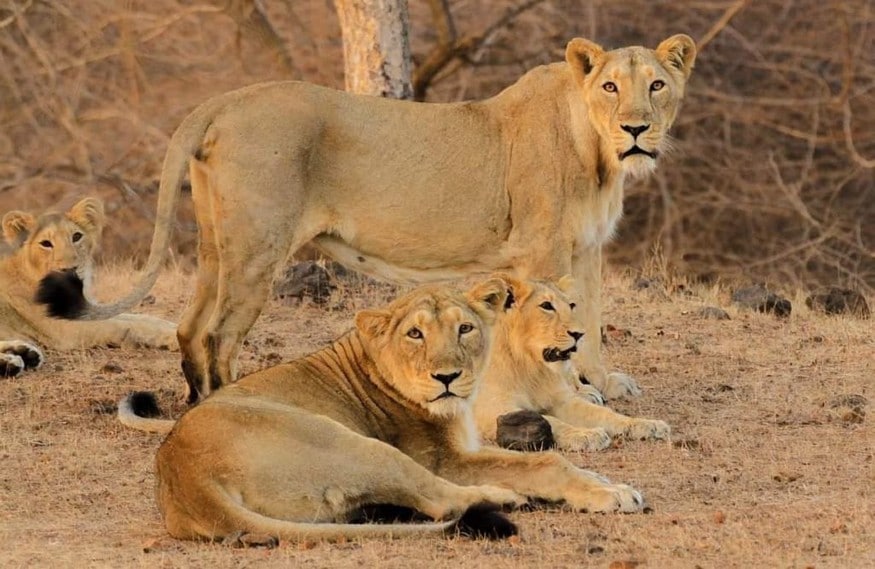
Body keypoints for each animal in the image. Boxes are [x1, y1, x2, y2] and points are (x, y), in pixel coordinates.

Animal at [0, 197, 177, 377]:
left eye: (76, 236)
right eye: (46, 243)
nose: (70, 269)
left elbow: (139, 318)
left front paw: (173, 327)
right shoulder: (62, 330)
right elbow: (119, 324)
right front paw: (173, 336)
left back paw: (25, 354)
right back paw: (13, 362)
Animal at [39, 35, 696, 403]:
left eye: (657, 86)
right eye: (610, 87)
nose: (636, 129)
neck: (599, 155)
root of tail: (224, 99)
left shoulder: (585, 250)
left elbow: (591, 319)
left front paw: (603, 383)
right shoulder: (542, 251)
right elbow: (555, 323)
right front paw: (573, 389)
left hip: (215, 246)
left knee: (188, 325)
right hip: (258, 248)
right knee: (217, 334)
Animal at [118, 280, 645, 542]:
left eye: (466, 329)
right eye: (415, 333)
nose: (447, 377)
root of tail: (182, 476)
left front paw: (604, 482)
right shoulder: (444, 458)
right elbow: (544, 461)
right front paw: (610, 494)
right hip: (355, 443)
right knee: (441, 501)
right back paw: (503, 498)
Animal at [474, 275, 671, 452]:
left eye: (571, 306)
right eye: (546, 306)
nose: (579, 334)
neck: (532, 365)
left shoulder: (561, 400)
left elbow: (601, 413)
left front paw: (647, 425)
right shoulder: (493, 408)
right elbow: (551, 421)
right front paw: (584, 435)